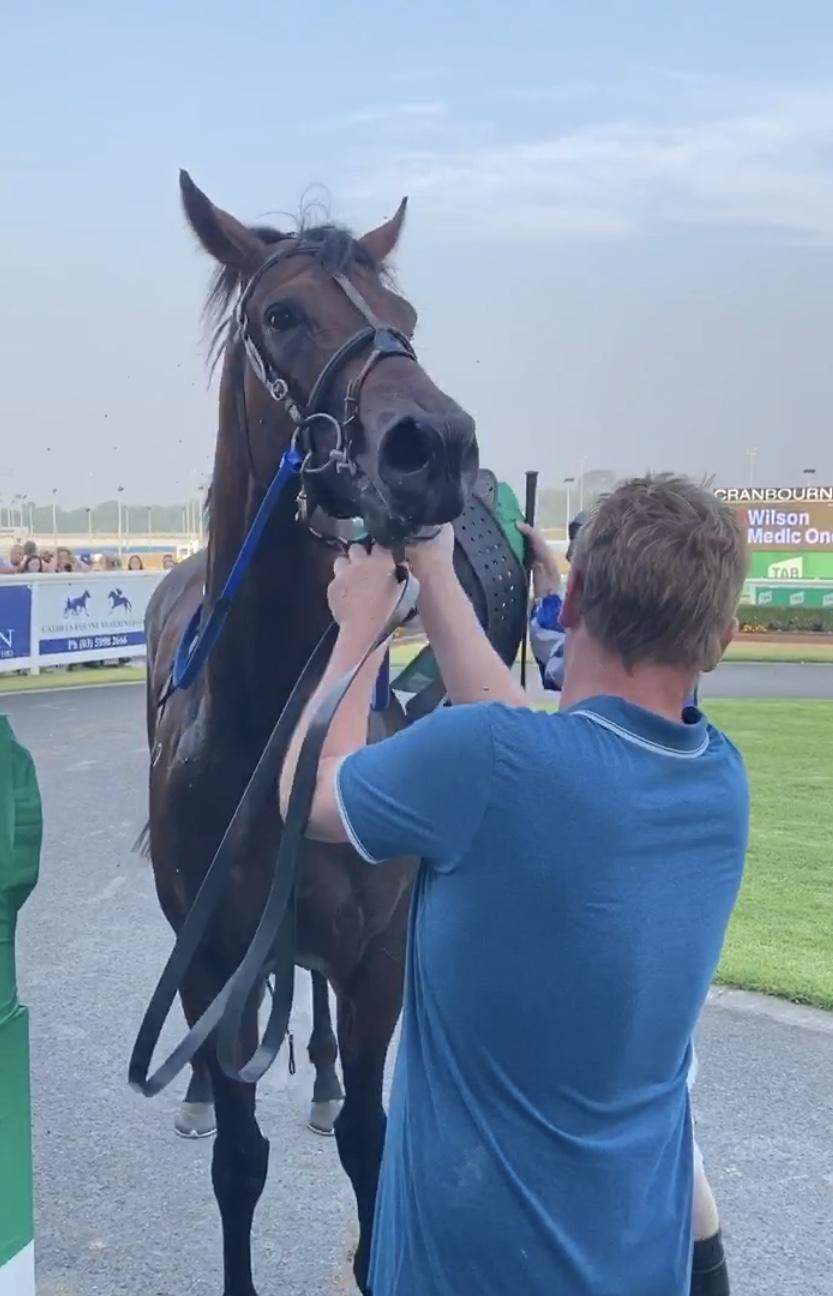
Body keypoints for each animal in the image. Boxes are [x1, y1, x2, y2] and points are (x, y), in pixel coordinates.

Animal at [142, 171, 479, 1296]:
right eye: (284, 316)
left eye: (405, 314)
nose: (437, 444)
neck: (273, 731)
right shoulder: (214, 955)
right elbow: (240, 1163)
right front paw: (215, 1103)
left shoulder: (376, 955)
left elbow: (373, 1145)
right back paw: (199, 1091)